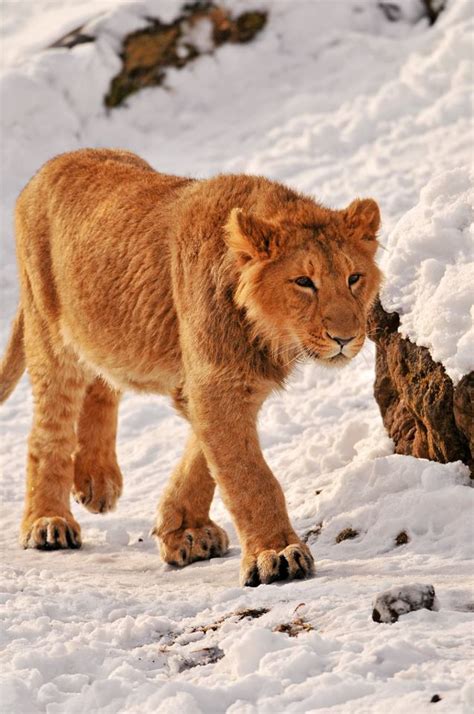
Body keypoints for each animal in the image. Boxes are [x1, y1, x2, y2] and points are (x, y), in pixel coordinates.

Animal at [0, 149, 382, 586]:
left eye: (354, 277)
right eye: (304, 281)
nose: (346, 337)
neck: (265, 331)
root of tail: (49, 165)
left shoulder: (231, 381)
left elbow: (205, 460)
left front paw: (184, 529)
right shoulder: (217, 381)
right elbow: (250, 476)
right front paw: (277, 553)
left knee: (102, 383)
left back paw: (97, 479)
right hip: (48, 331)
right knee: (49, 429)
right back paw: (47, 522)